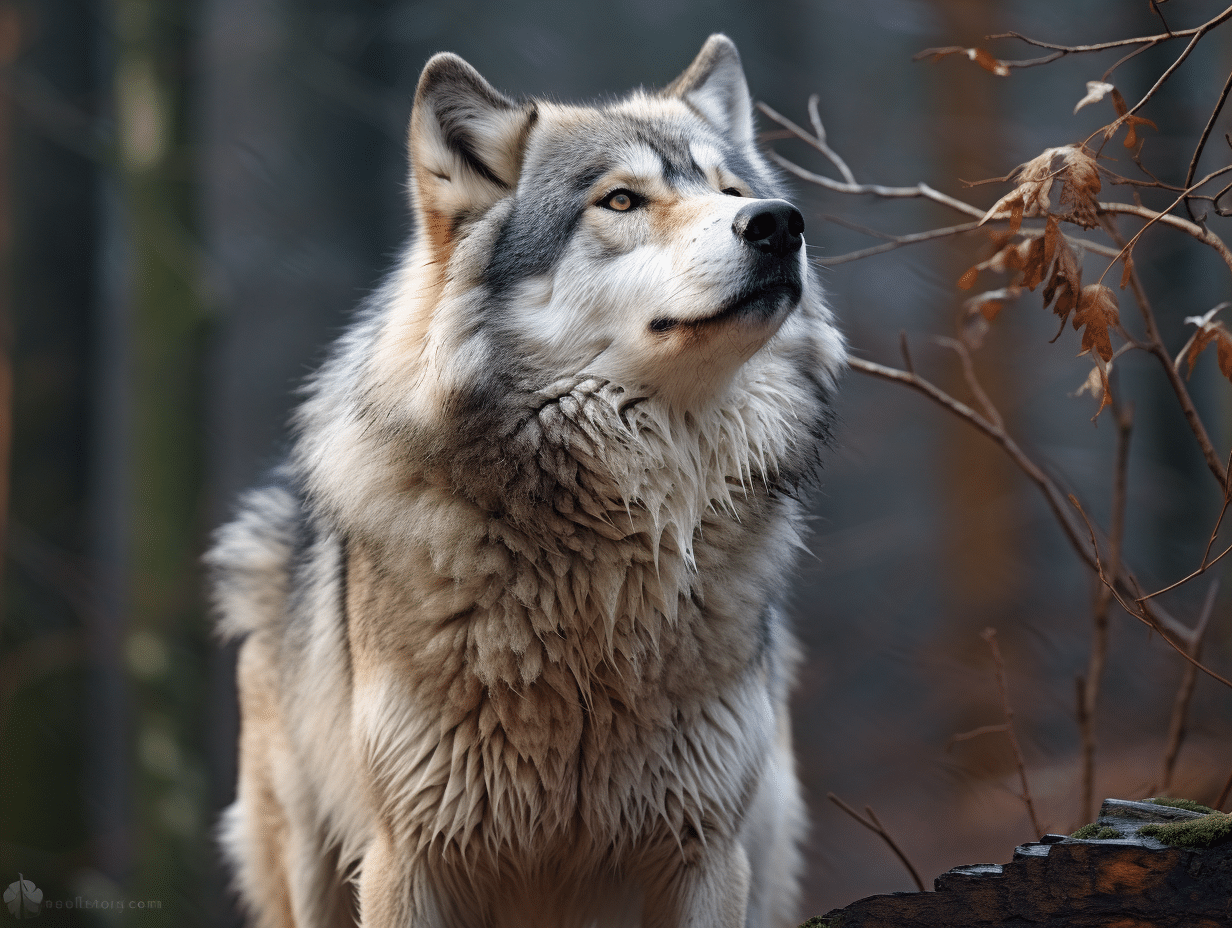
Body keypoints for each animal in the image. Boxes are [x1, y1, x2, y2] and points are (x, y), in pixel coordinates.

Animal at [209, 34, 844, 928]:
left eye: (731, 190)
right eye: (621, 200)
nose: (778, 223)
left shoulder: (704, 854)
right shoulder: (410, 858)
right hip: (307, 864)